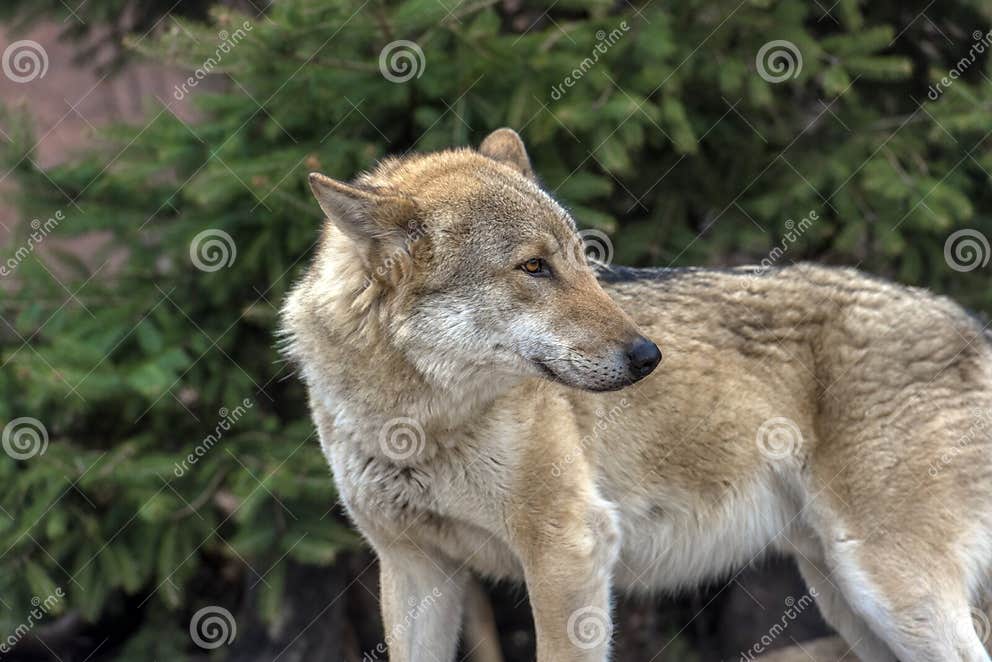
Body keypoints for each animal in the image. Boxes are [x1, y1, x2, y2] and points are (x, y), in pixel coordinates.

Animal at [281, 128, 992, 662]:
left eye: (584, 259)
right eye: (534, 267)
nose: (649, 356)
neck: (413, 420)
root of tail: (974, 325)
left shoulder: (570, 552)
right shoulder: (413, 567)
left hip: (893, 591)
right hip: (848, 599)